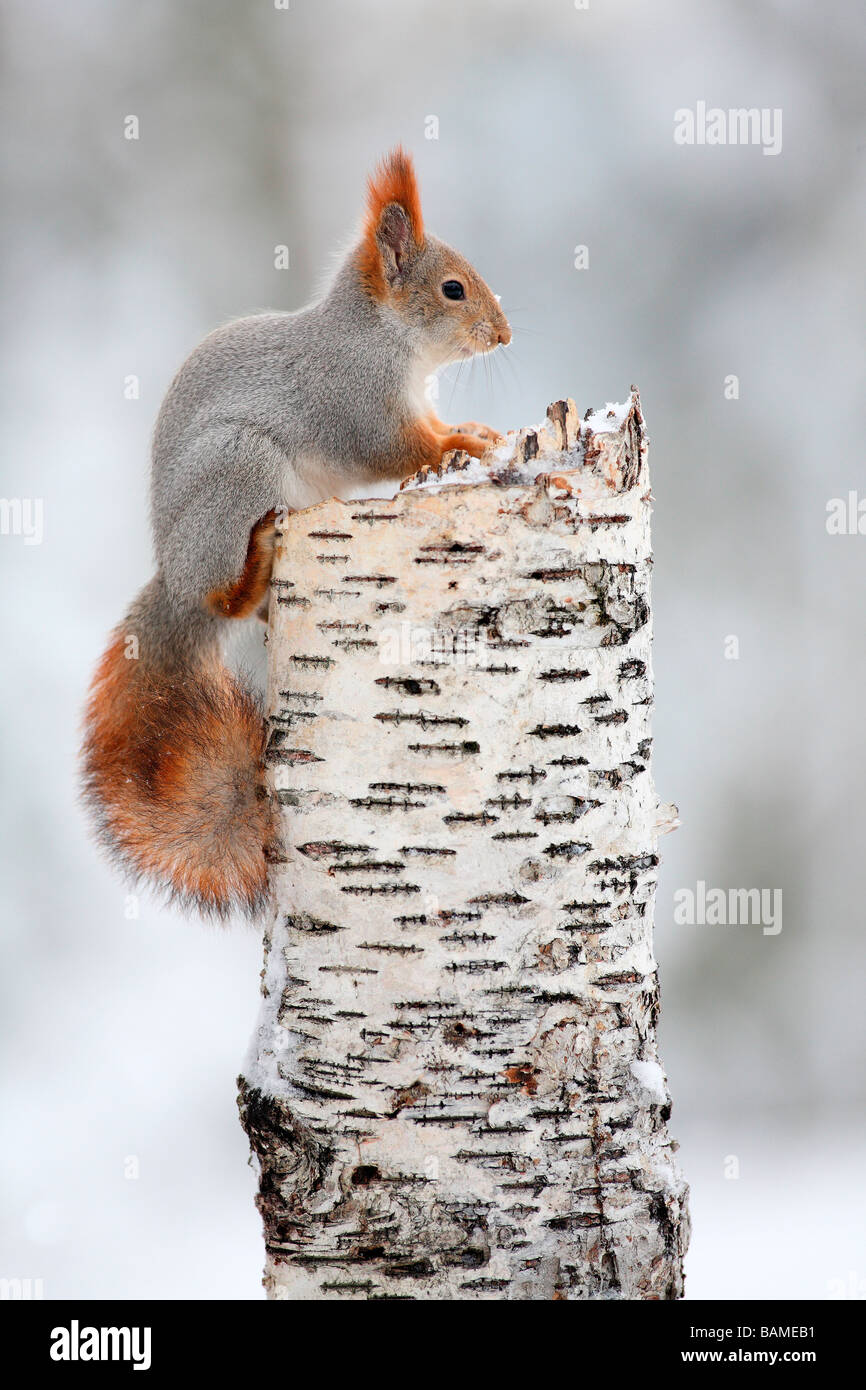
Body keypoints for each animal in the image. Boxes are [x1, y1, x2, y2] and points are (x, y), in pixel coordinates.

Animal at [81, 147, 511, 920]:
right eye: (453, 289)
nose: (505, 334)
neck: (385, 339)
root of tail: (176, 580)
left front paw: (473, 431)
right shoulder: (357, 406)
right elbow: (404, 449)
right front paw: (465, 443)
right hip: (240, 470)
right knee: (225, 595)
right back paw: (251, 563)